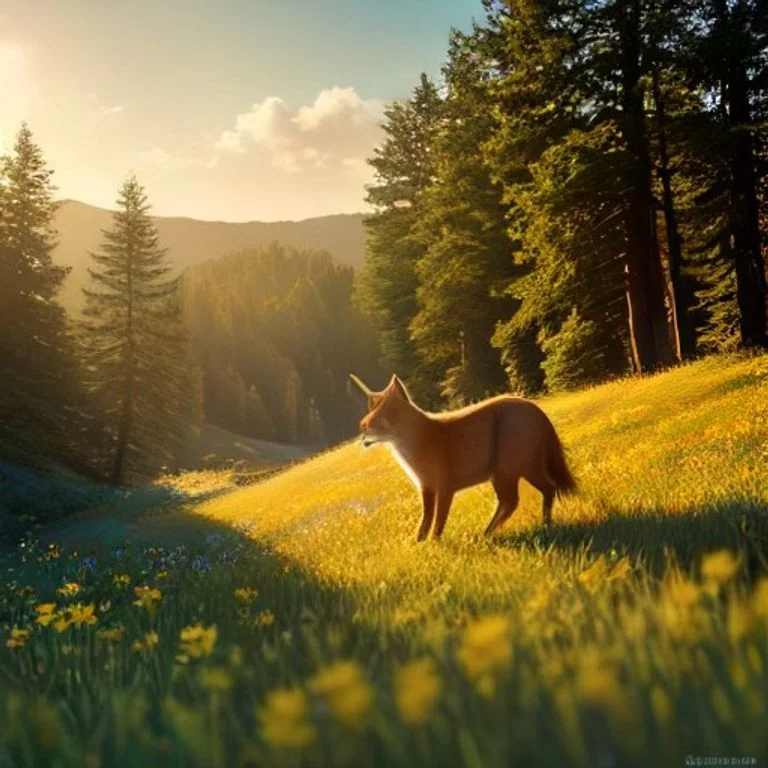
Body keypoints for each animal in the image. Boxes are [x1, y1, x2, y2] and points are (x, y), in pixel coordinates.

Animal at [349, 373, 576, 541]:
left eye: (381, 415)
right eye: (372, 411)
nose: (362, 425)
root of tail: (534, 406)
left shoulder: (445, 487)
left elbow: (438, 522)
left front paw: (434, 546)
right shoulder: (427, 487)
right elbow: (425, 521)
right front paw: (418, 546)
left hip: (507, 472)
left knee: (513, 501)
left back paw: (486, 534)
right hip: (525, 470)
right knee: (547, 489)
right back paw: (544, 525)